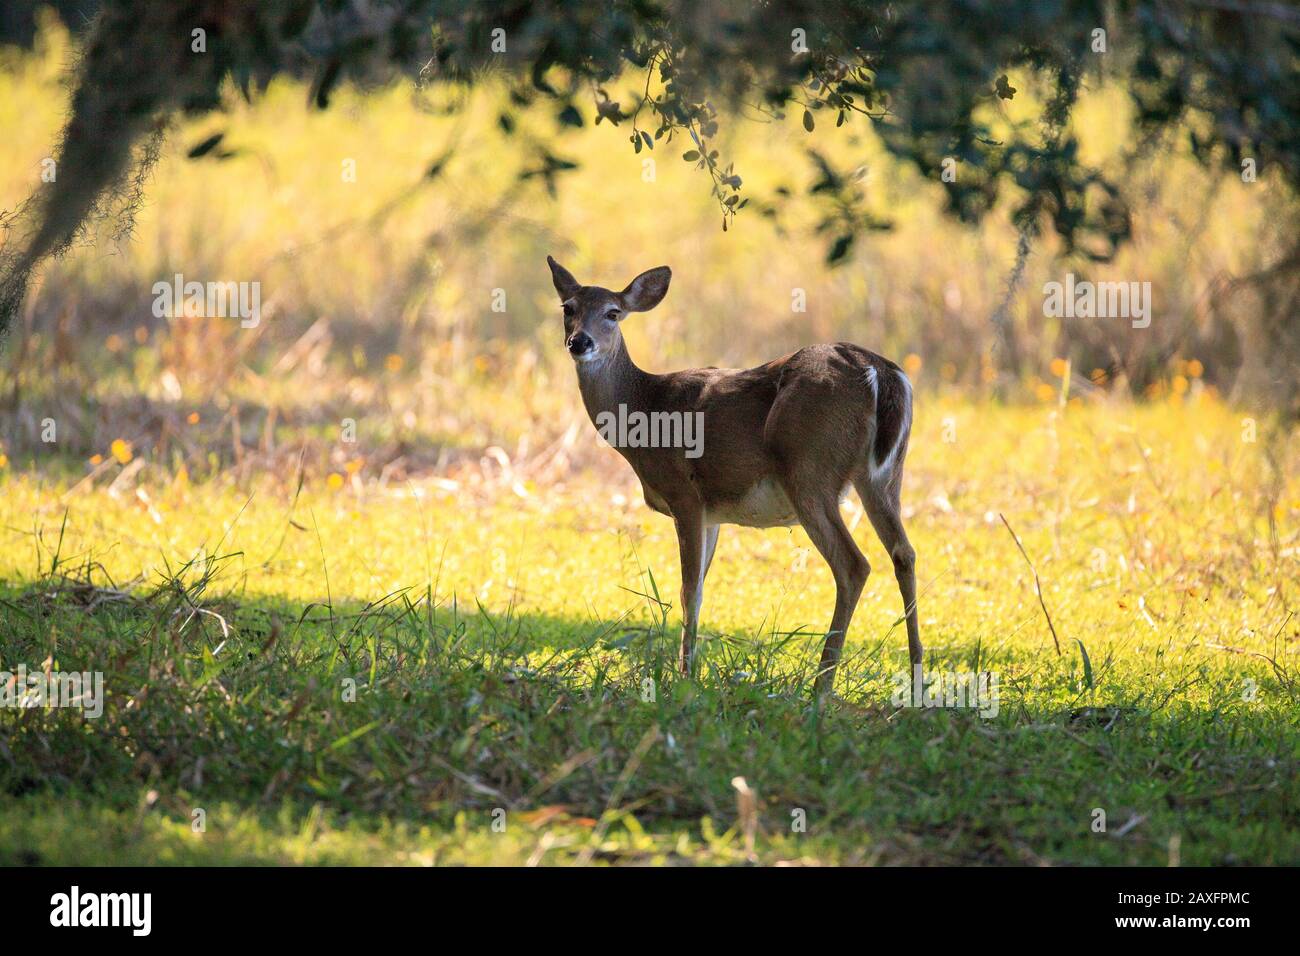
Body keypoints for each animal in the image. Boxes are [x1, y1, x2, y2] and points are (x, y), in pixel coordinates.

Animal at [547, 256, 921, 696]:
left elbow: (688, 590)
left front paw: (686, 677)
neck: (645, 410)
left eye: (612, 312)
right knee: (904, 553)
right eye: (568, 308)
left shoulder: (685, 493)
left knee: (853, 564)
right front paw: (689, 670)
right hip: (885, 474)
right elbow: (699, 590)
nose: (579, 342)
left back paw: (821, 687)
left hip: (810, 471)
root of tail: (880, 371)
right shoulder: (713, 514)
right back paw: (917, 673)